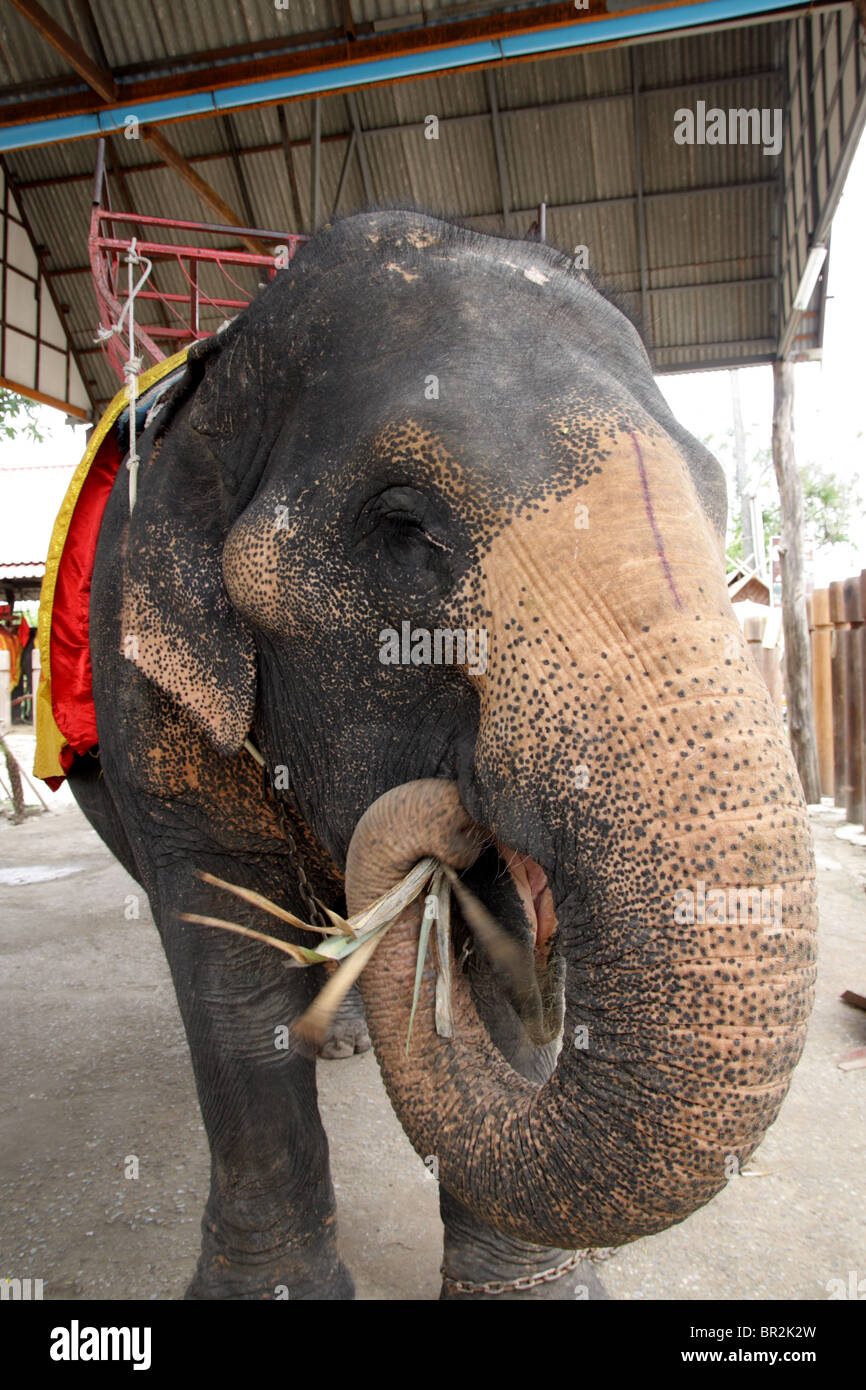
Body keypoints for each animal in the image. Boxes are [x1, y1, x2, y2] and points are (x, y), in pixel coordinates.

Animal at [66, 208, 817, 1300]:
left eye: (717, 500)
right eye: (404, 525)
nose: (444, 807)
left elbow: (492, 941)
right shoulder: (147, 686)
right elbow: (225, 968)